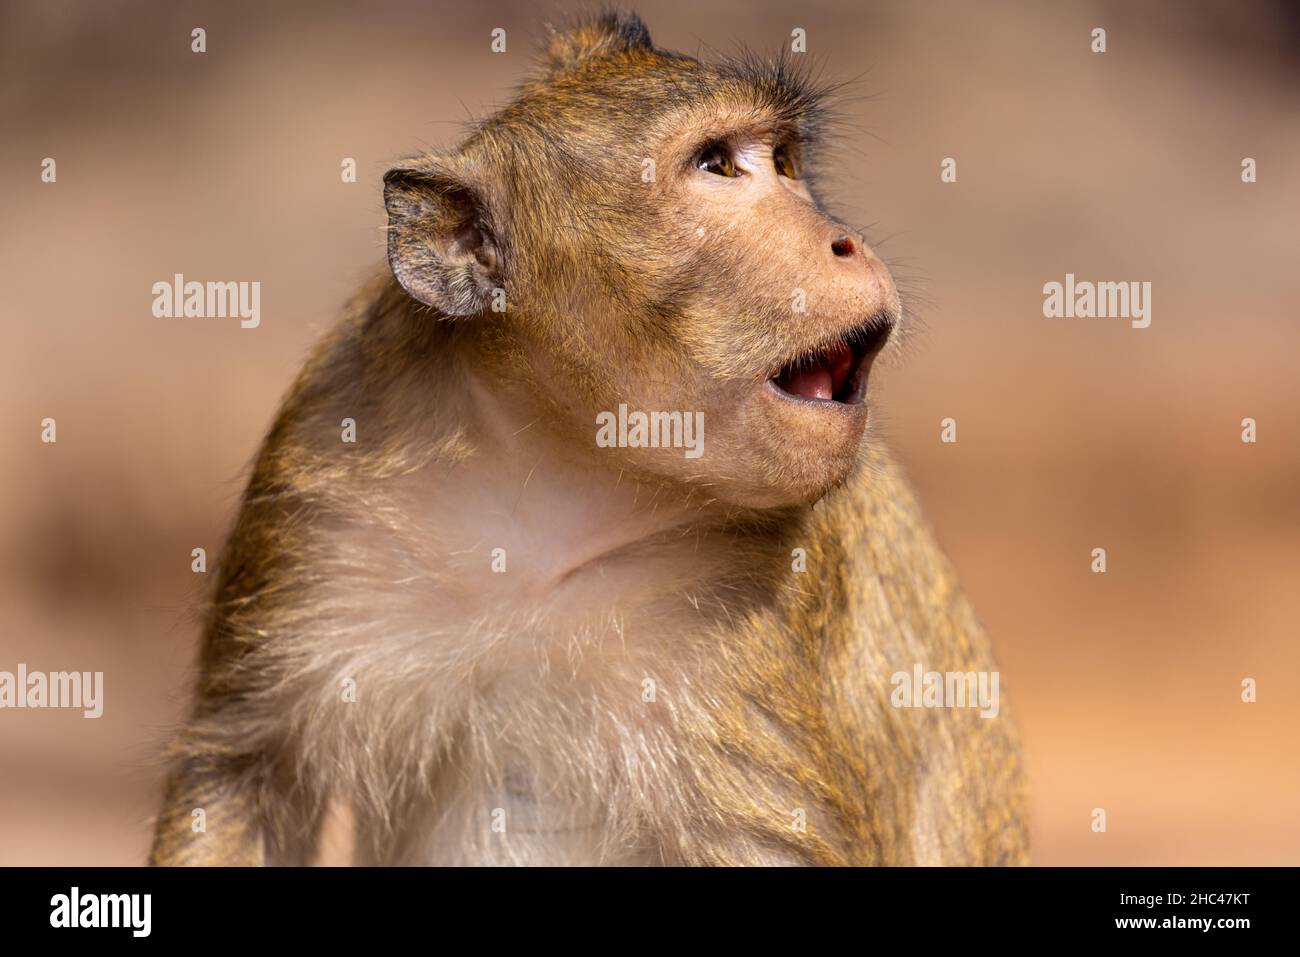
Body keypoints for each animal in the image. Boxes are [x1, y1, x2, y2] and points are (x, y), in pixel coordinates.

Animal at [149, 11, 1028, 867]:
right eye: (717, 164)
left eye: (782, 161)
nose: (843, 239)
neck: (552, 464)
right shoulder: (320, 477)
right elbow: (244, 770)